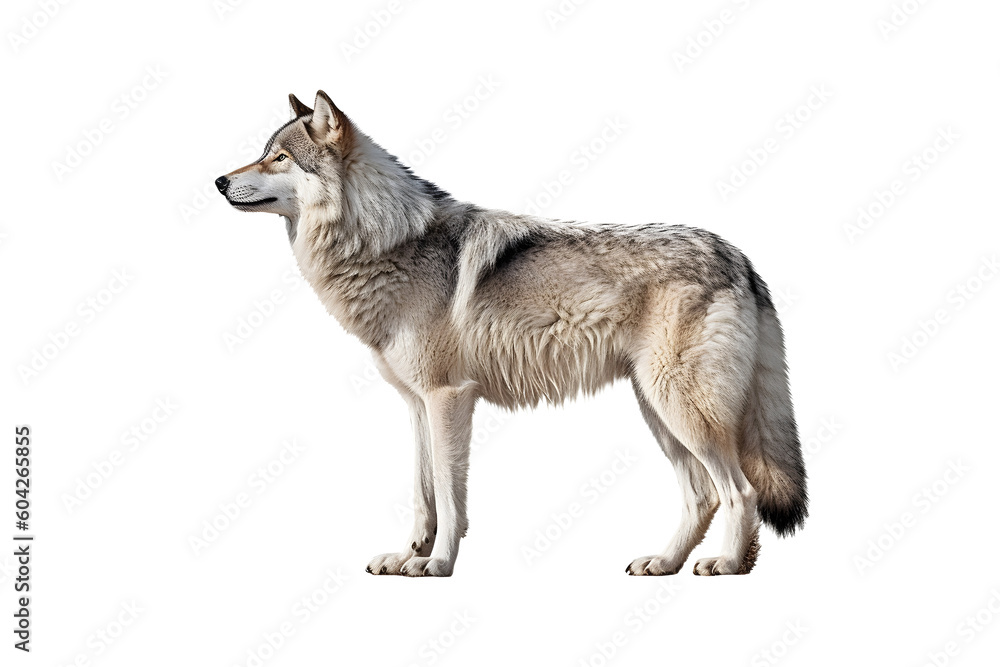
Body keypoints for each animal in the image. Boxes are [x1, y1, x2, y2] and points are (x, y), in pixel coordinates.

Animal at [216, 91, 808, 577]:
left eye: (279, 157)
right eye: (264, 152)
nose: (218, 181)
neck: (382, 242)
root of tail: (740, 257)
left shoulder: (449, 398)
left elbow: (449, 497)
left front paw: (438, 563)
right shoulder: (417, 405)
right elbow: (422, 496)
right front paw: (408, 556)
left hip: (682, 410)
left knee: (740, 491)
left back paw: (726, 564)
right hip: (659, 412)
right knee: (701, 496)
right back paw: (664, 562)